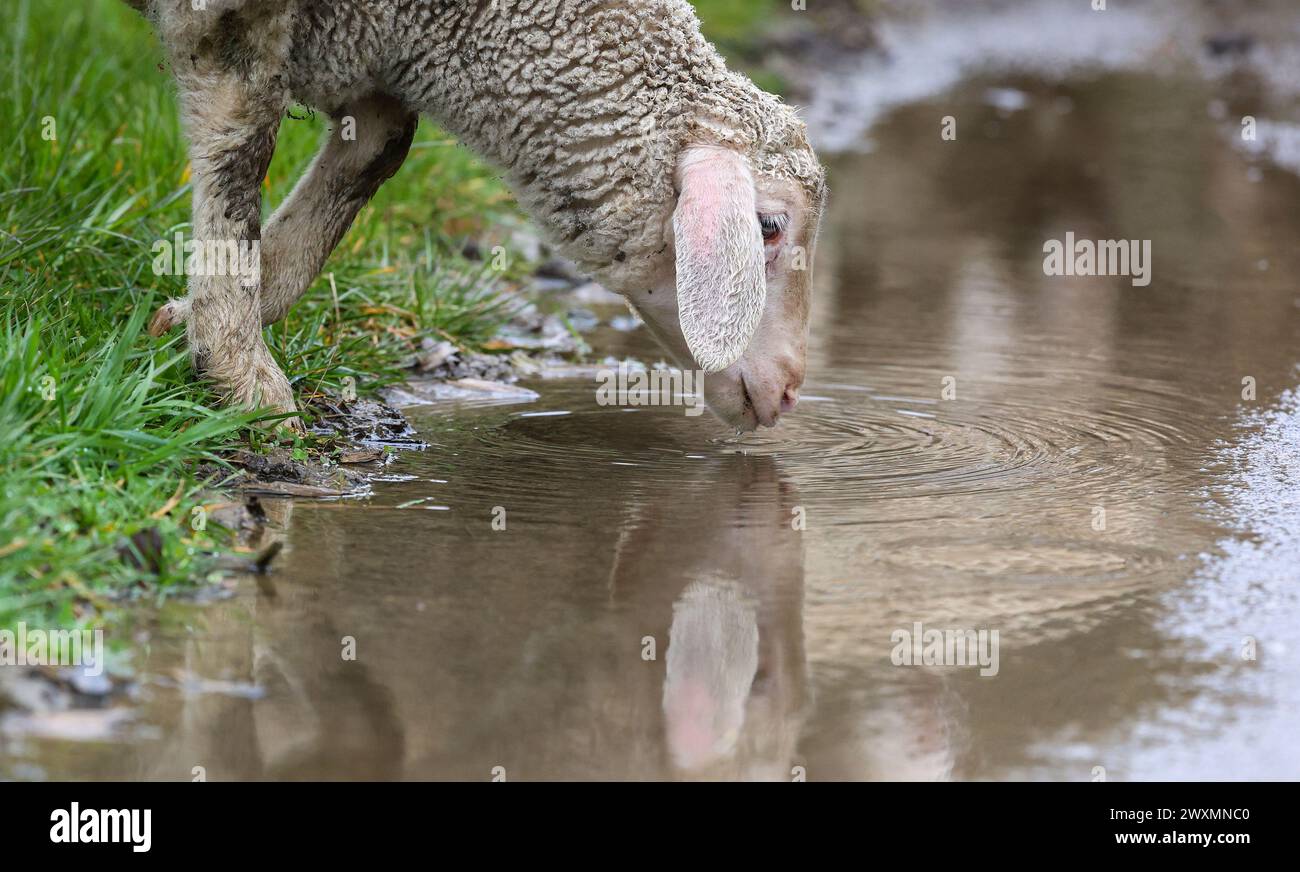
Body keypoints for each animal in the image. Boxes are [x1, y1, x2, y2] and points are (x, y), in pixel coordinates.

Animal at [130, 0, 827, 430]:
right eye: (769, 227)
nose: (791, 390)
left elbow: (378, 145)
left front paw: (198, 320)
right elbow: (241, 156)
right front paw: (242, 375)